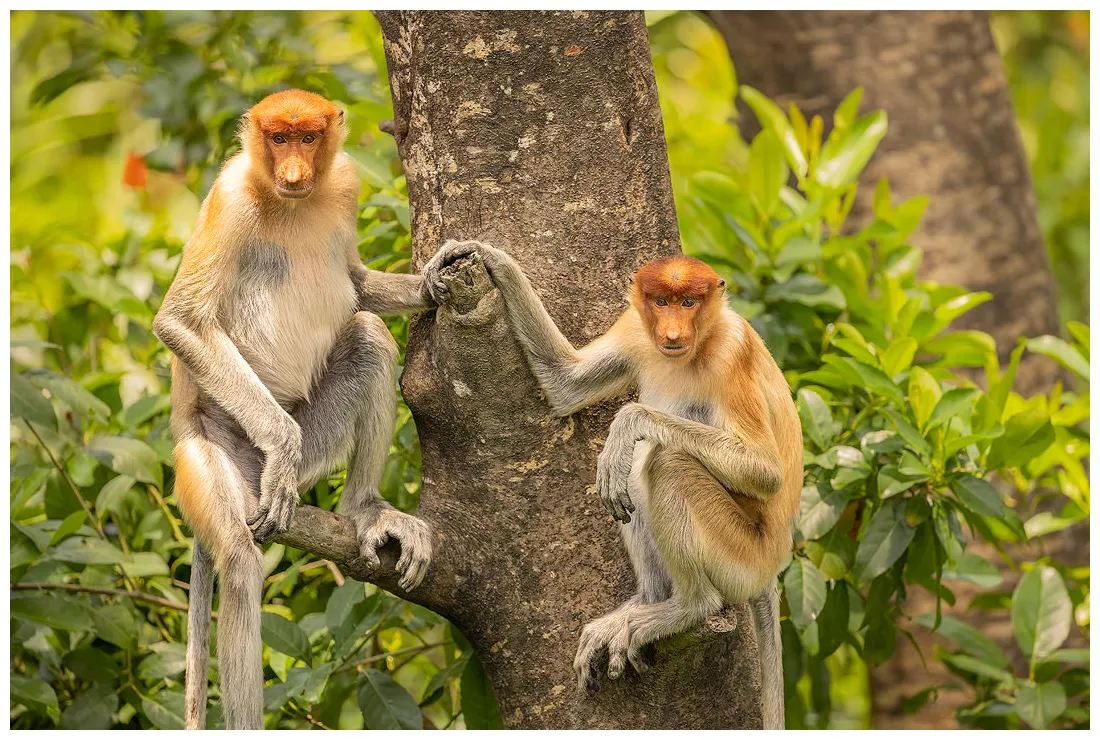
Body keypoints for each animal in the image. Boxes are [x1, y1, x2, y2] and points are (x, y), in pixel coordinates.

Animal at [153, 90, 434, 730]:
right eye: (277, 138)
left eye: (308, 137)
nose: (295, 171)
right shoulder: (232, 197)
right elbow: (181, 320)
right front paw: (282, 444)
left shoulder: (346, 180)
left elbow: (356, 285)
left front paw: (437, 283)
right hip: (210, 456)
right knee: (237, 561)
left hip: (316, 439)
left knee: (370, 336)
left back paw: (365, 511)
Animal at [424, 242, 801, 729]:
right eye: (661, 301)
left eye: (688, 302)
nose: (673, 332)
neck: (696, 346)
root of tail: (773, 562)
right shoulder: (635, 330)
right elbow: (565, 382)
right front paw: (483, 256)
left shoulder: (730, 351)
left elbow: (765, 471)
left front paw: (627, 423)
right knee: (634, 480)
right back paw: (645, 603)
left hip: (741, 555)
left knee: (665, 462)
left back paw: (689, 607)